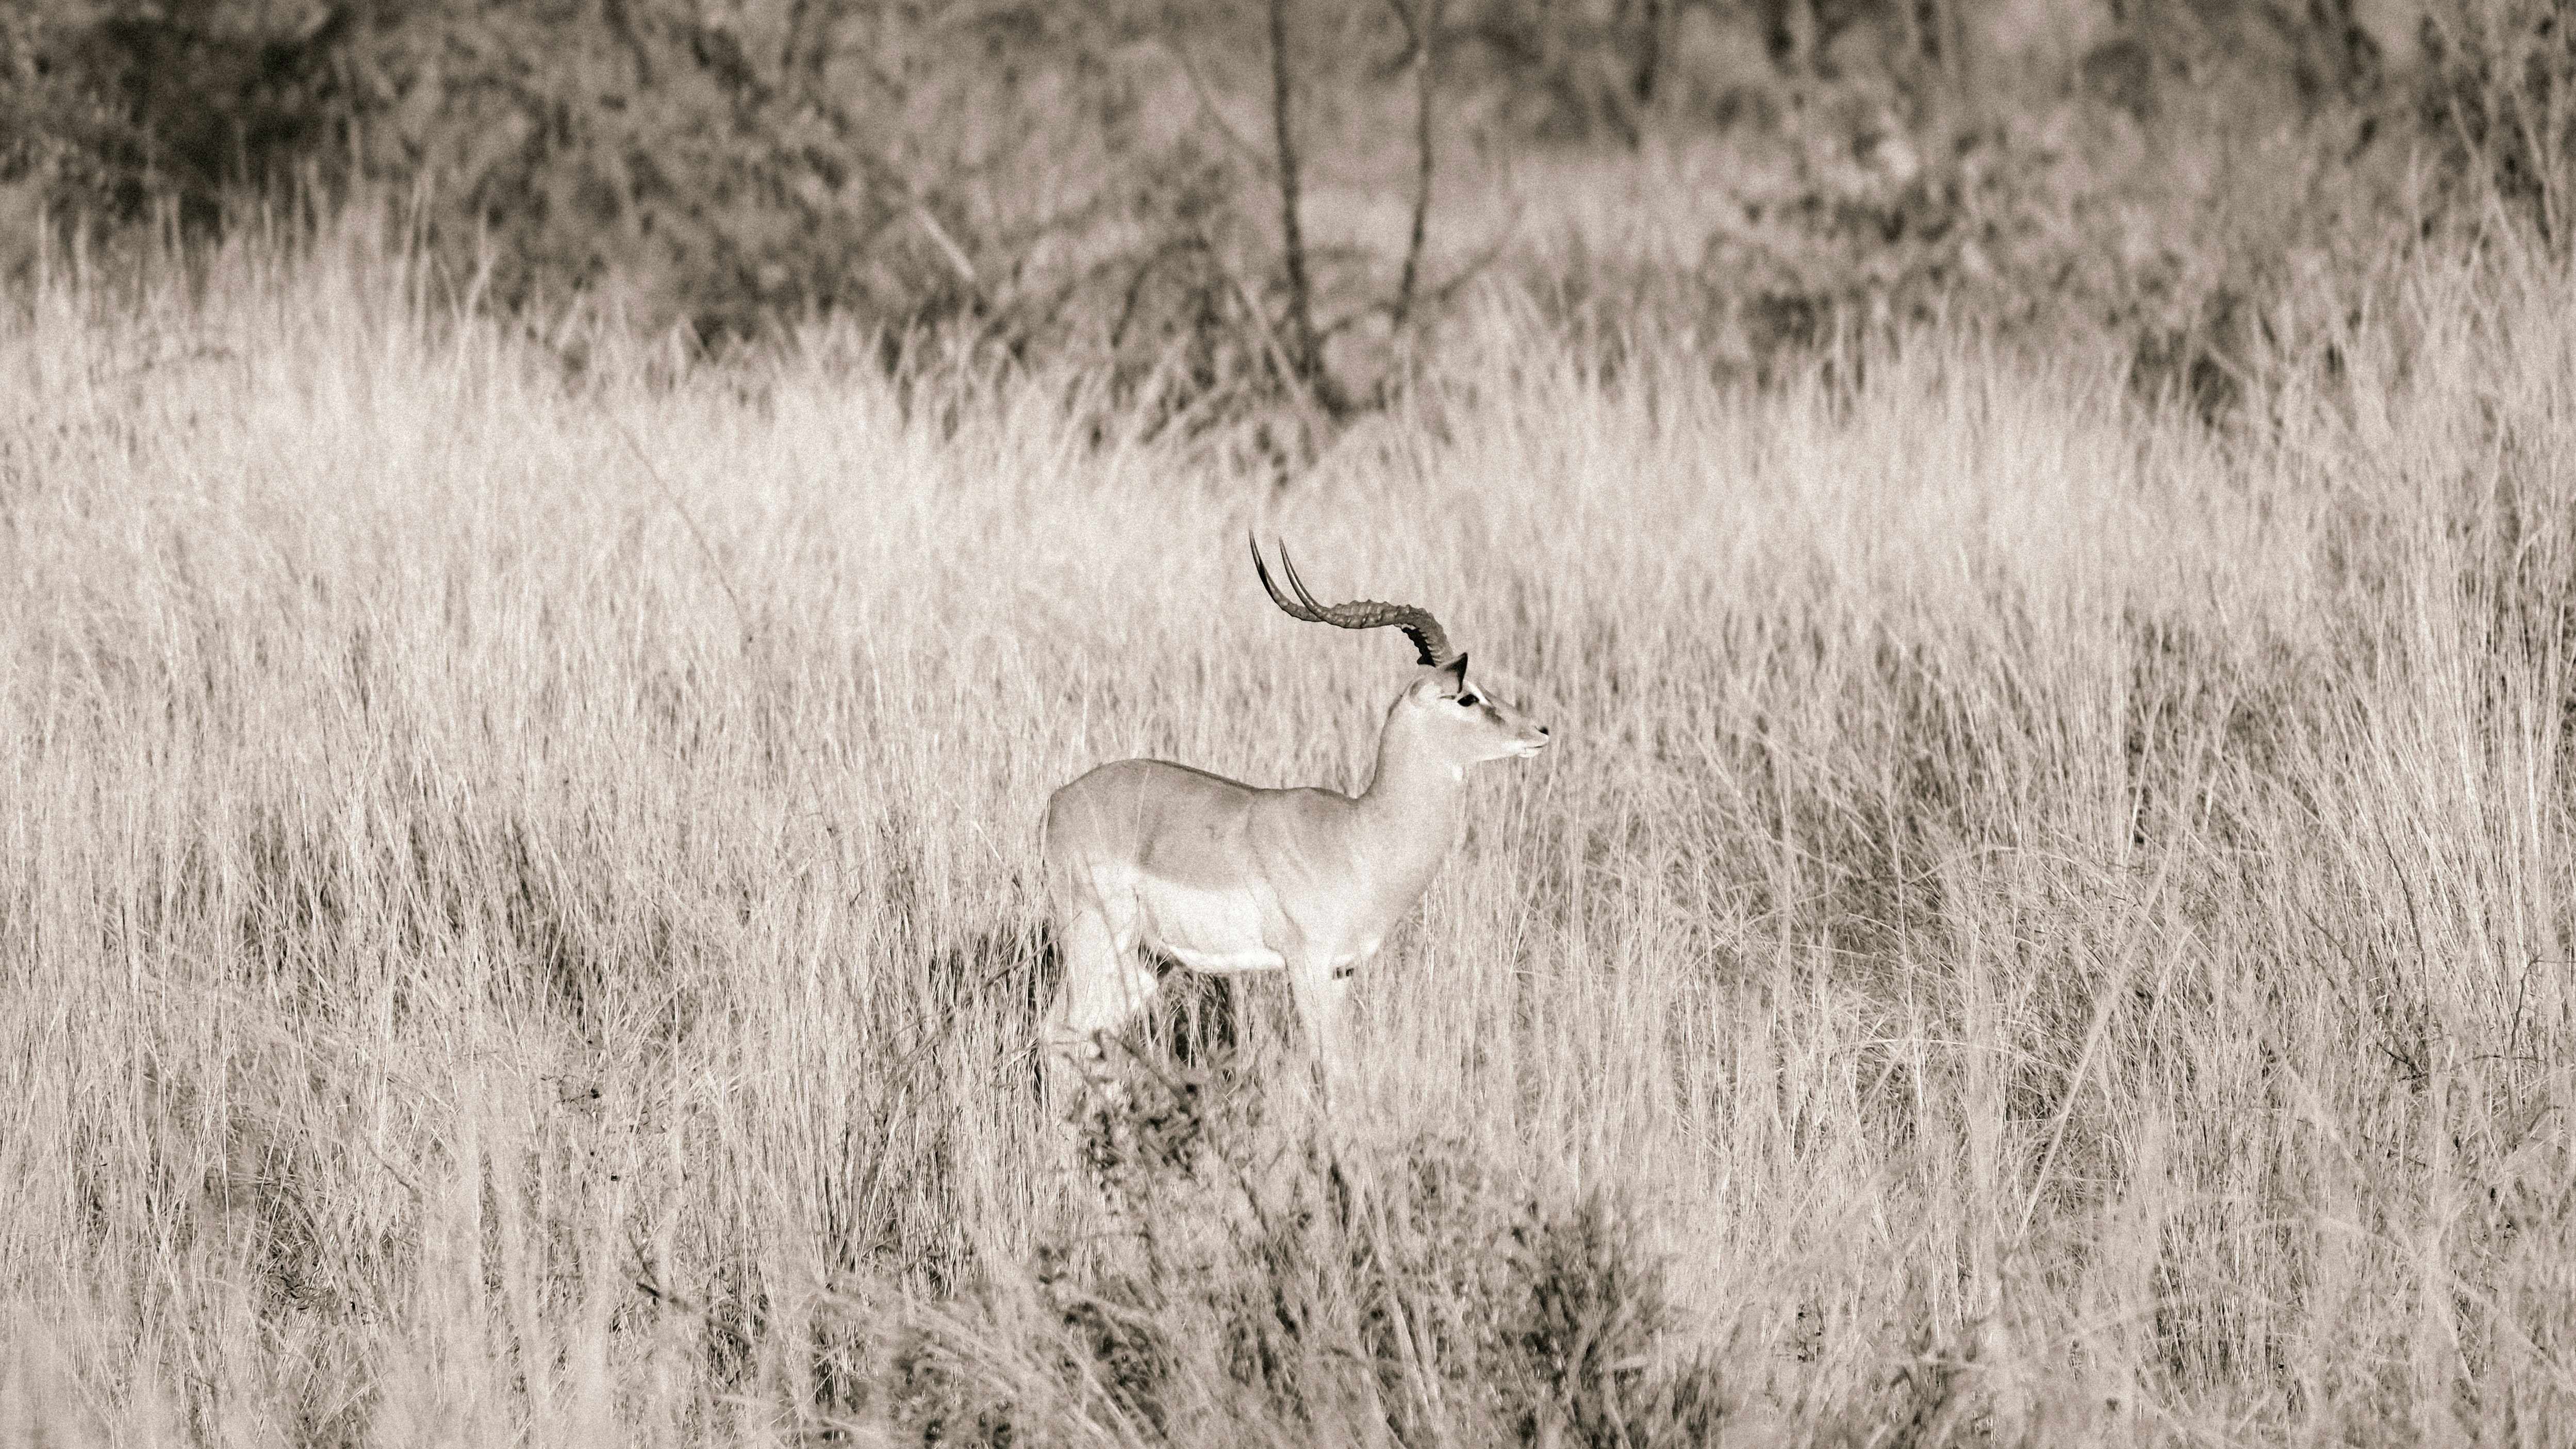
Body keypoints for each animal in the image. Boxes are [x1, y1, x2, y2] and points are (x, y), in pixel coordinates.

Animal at [1039, 537, 1551, 1112]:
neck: (1360, 836)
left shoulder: (1342, 971)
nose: (1540, 730)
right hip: (1094, 939)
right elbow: (1334, 1075)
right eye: (1467, 696)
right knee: (1060, 1033)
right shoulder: (1306, 965)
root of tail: (1060, 799)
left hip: (1144, 961)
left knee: (1088, 1038)